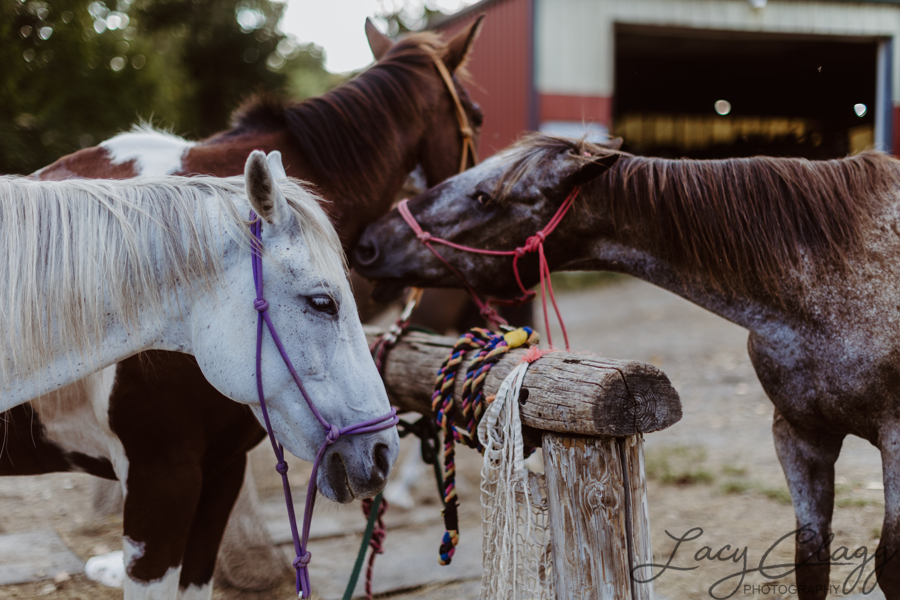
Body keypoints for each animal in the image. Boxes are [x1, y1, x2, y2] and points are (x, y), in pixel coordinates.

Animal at [352, 133, 900, 600]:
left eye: (486, 197)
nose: (367, 243)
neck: (830, 277)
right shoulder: (798, 435)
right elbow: (810, 560)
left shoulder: (893, 438)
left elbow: (887, 561)